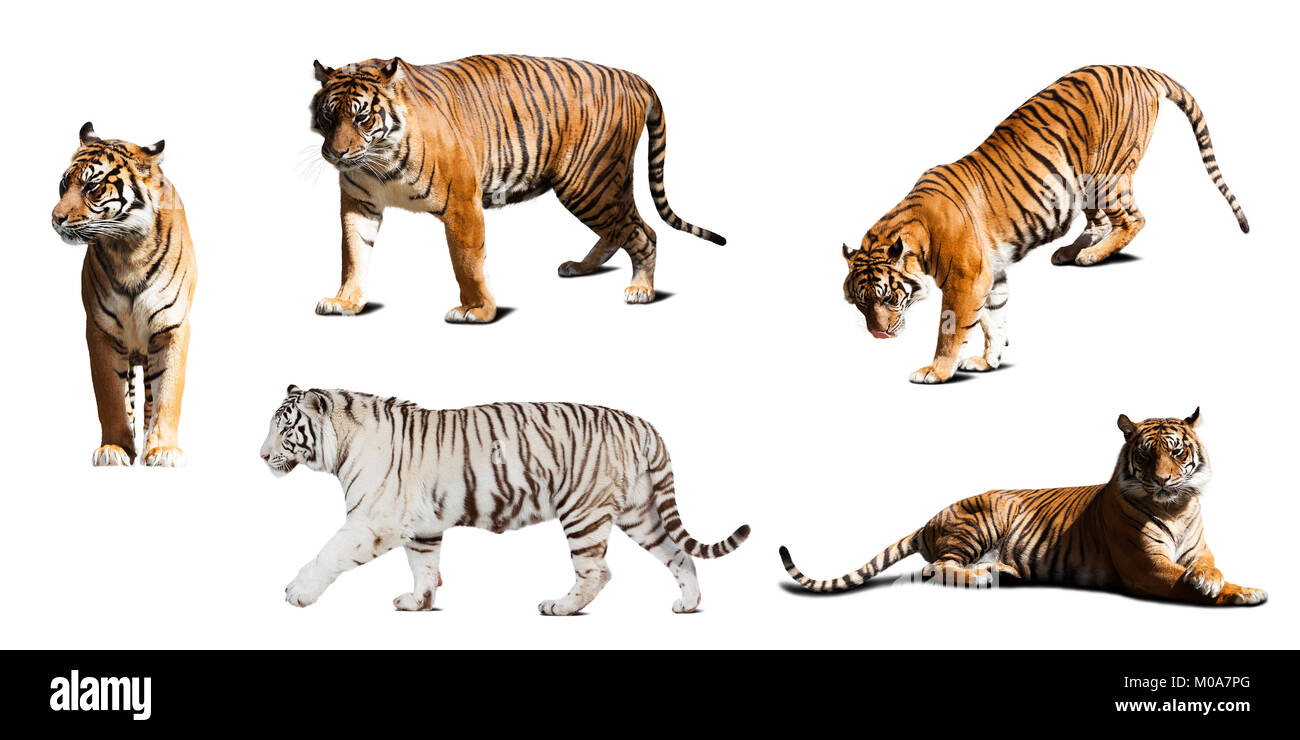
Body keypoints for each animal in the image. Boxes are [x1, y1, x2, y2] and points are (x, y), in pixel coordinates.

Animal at [50, 123, 197, 467]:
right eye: (64, 183)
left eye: (92, 186)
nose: (55, 218)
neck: (129, 249)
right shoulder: (100, 331)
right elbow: (110, 397)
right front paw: (114, 448)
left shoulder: (173, 328)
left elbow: (168, 393)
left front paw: (163, 450)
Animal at [260, 386, 750, 614]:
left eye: (285, 429)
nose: (262, 456)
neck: (340, 445)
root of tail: (642, 424)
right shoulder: (422, 526)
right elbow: (424, 567)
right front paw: (418, 603)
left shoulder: (372, 521)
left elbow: (329, 554)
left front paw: (297, 593)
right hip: (641, 513)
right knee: (679, 556)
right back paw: (688, 604)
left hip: (584, 512)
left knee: (598, 572)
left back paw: (560, 607)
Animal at [309, 55, 725, 321]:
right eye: (328, 115)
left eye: (362, 117)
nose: (336, 153)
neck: (377, 159)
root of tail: (633, 76)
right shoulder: (358, 204)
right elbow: (353, 254)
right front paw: (345, 302)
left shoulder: (462, 201)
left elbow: (466, 262)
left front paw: (476, 310)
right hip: (601, 185)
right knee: (622, 229)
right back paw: (580, 268)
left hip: (589, 183)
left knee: (642, 231)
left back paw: (641, 290)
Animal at [780, 409, 1266, 606]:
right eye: (1145, 455)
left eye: (1177, 452)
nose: (1163, 480)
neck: (1175, 507)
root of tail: (928, 519)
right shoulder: (1144, 565)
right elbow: (1186, 582)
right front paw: (1239, 592)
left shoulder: (1198, 550)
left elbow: (1210, 567)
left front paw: (1219, 581)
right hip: (979, 523)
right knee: (936, 567)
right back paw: (982, 577)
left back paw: (1003, 572)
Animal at [842, 65, 1249, 384]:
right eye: (860, 302)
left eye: (888, 297)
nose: (878, 334)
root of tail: (1138, 68)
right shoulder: (990, 275)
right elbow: (994, 320)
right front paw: (988, 361)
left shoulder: (965, 279)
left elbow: (952, 328)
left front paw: (936, 371)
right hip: (1085, 187)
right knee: (1100, 223)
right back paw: (1070, 252)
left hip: (1107, 175)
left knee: (1134, 219)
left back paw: (1091, 256)